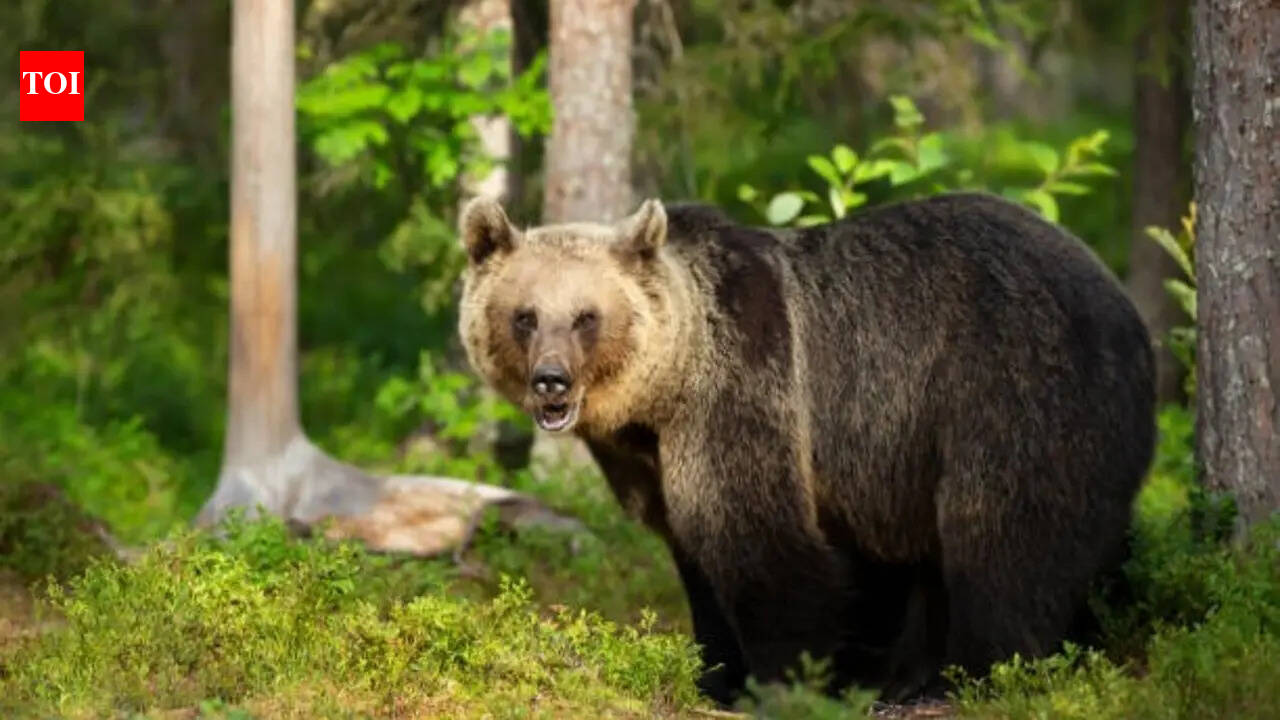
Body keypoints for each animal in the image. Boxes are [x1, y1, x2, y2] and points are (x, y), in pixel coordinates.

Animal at [456, 192, 1156, 706]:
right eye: (524, 314)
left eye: (586, 316)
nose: (551, 381)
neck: (663, 395)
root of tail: (1124, 302)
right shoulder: (646, 459)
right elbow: (694, 555)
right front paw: (718, 677)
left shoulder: (745, 390)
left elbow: (764, 545)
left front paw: (786, 680)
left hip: (1014, 387)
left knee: (1006, 538)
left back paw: (983, 672)